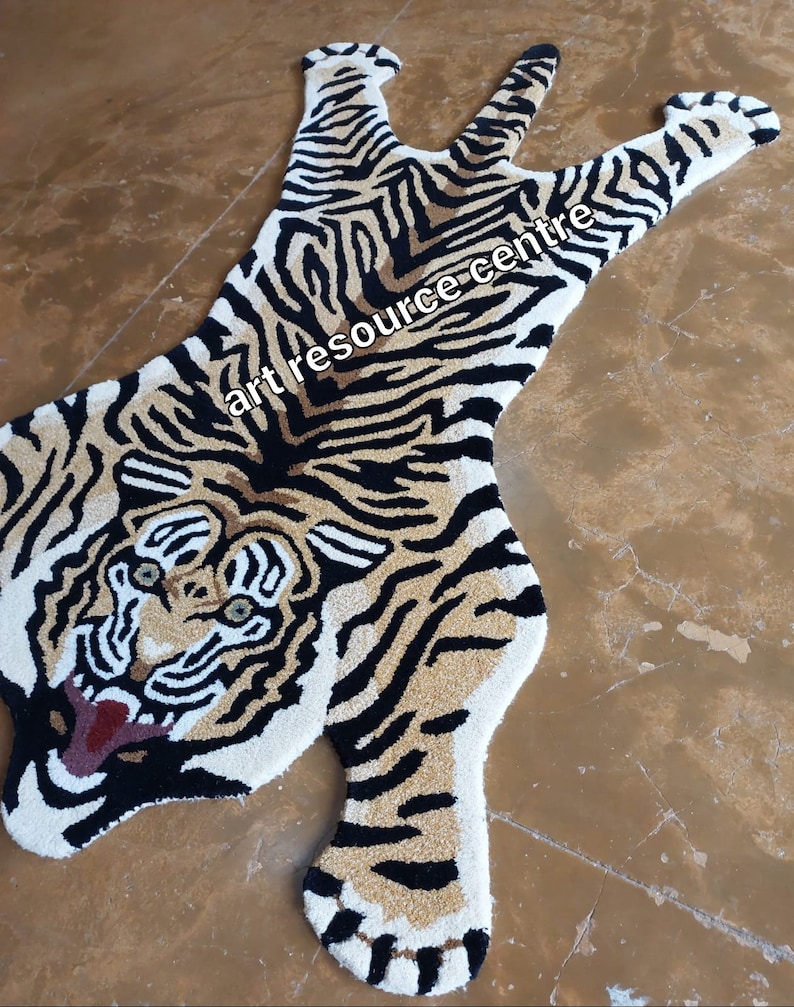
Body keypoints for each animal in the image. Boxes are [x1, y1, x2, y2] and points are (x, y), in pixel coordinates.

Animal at [0, 41, 779, 996]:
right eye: (139, 573)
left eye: (241, 613)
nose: (143, 661)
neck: (257, 489)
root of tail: (465, 165)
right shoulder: (42, 451)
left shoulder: (472, 590)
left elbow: (428, 741)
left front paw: (404, 920)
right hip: (342, 162)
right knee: (342, 99)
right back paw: (354, 58)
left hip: (581, 210)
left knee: (659, 155)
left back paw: (730, 113)